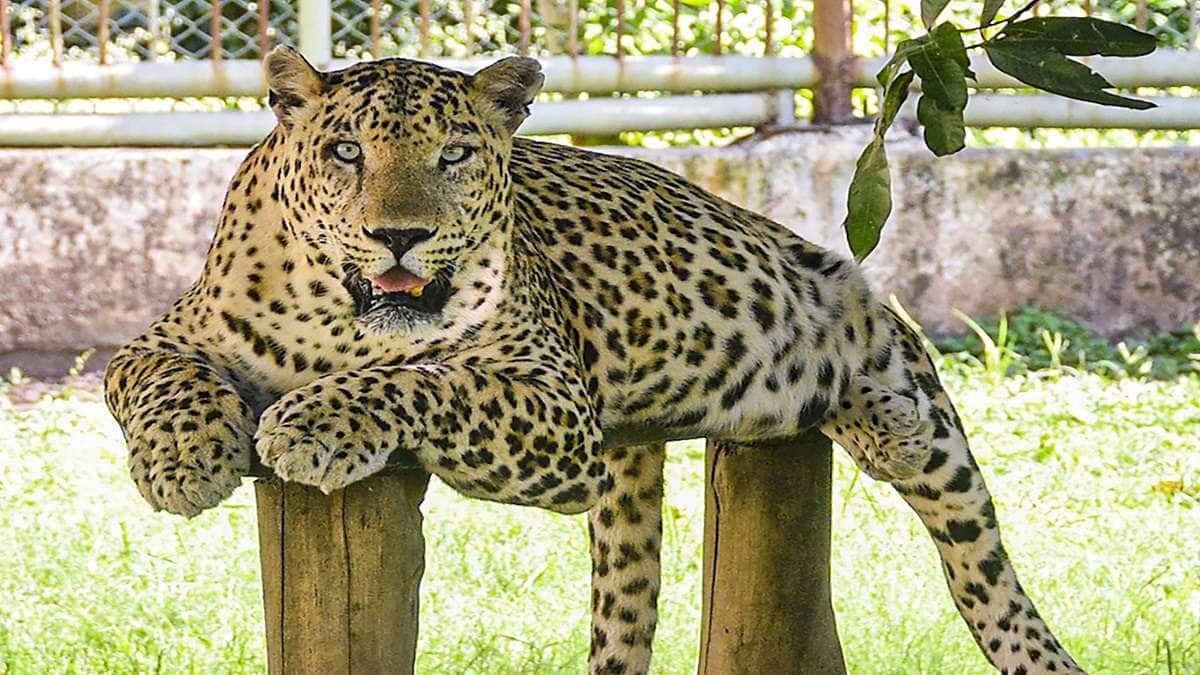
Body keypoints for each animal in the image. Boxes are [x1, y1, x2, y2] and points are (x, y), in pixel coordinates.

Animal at [104, 45, 1084, 674]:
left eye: (454, 155)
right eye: (347, 153)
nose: (399, 236)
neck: (343, 322)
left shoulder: (552, 403)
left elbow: (423, 378)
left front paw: (312, 423)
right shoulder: (162, 338)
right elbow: (158, 378)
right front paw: (183, 458)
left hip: (858, 316)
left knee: (960, 530)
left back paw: (893, 426)